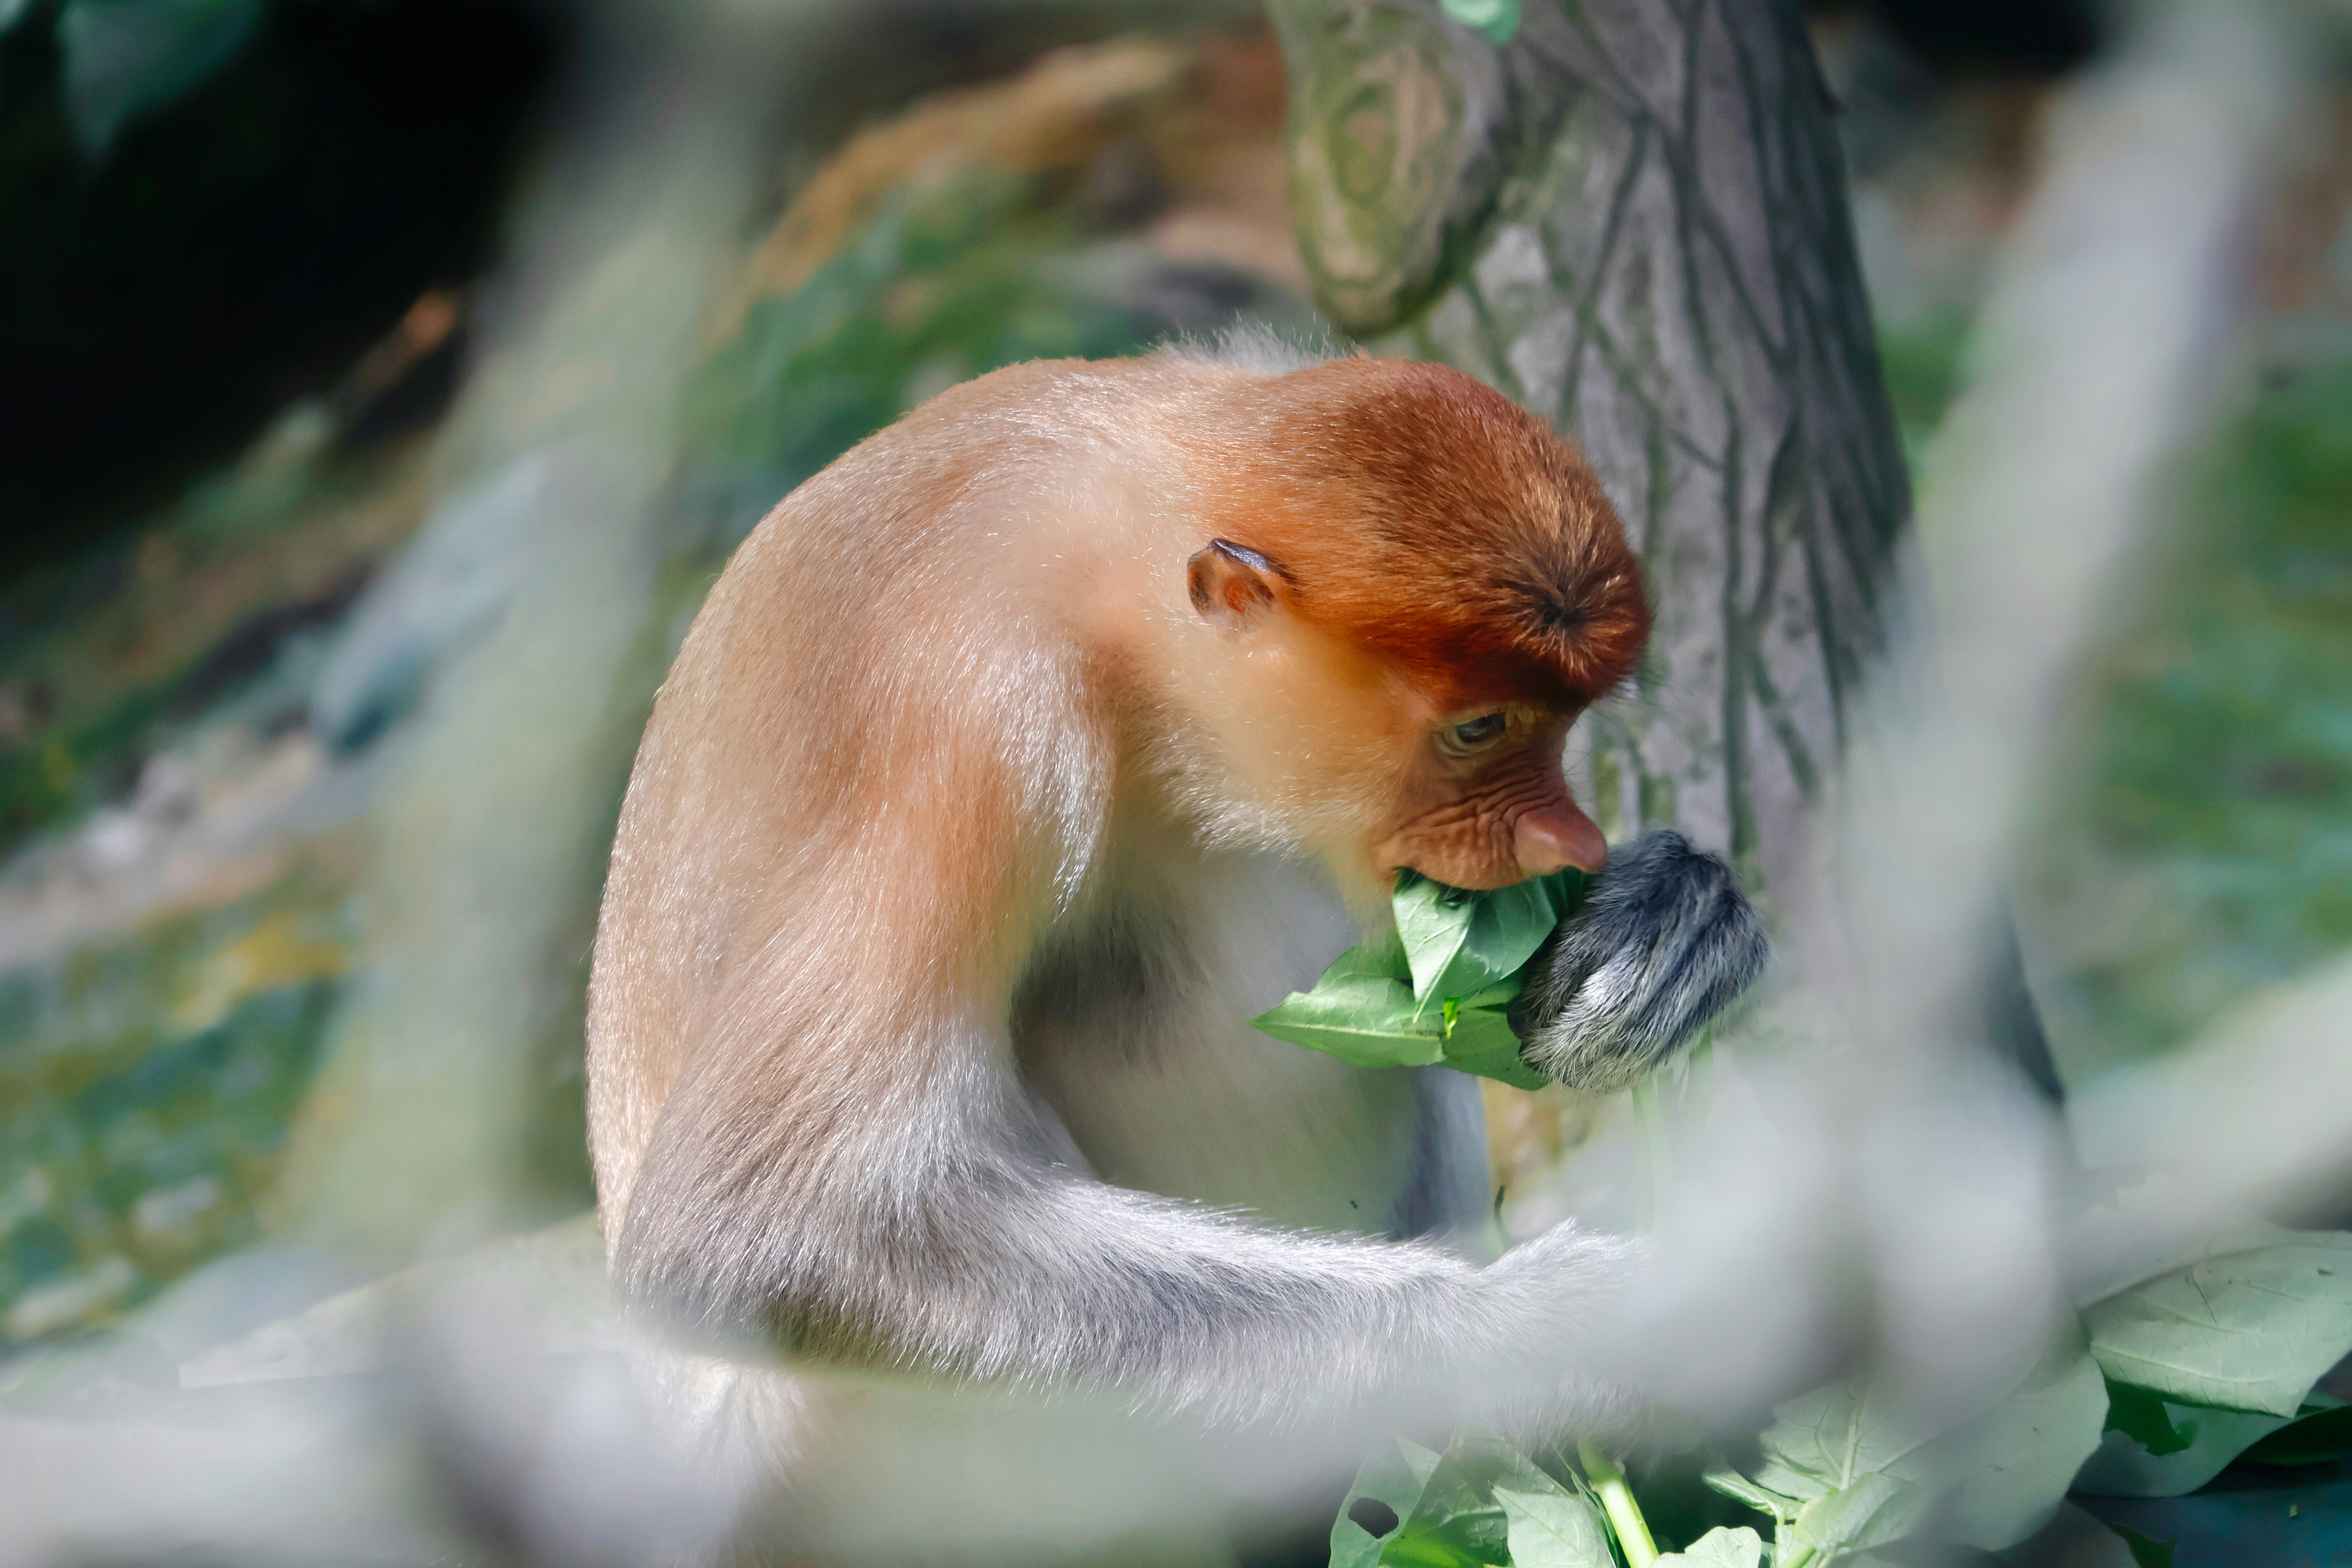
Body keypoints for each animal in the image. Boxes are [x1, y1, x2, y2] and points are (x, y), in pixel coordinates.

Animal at [584, 336, 1767, 1562]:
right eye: (1478, 728)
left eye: (1562, 722)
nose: (1565, 840)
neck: (1103, 548)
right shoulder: (973, 723)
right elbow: (767, 1224)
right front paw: (1556, 1335)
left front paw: (1663, 925)